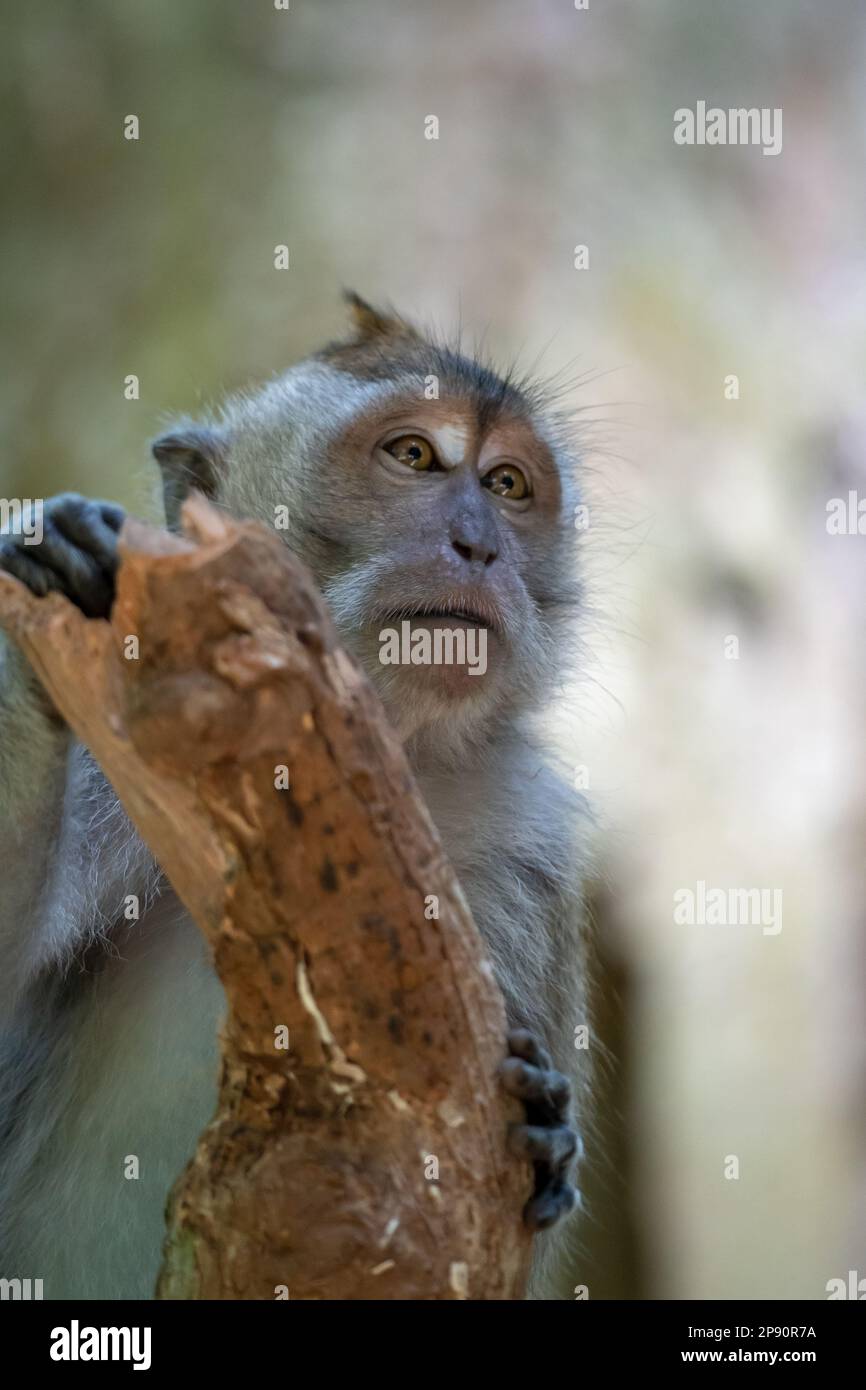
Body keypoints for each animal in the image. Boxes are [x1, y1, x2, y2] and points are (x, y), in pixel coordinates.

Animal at [0, 293, 591, 1300]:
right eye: (414, 456)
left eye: (509, 483)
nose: (478, 544)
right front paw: (51, 565)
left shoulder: (532, 856)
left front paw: (548, 1127)